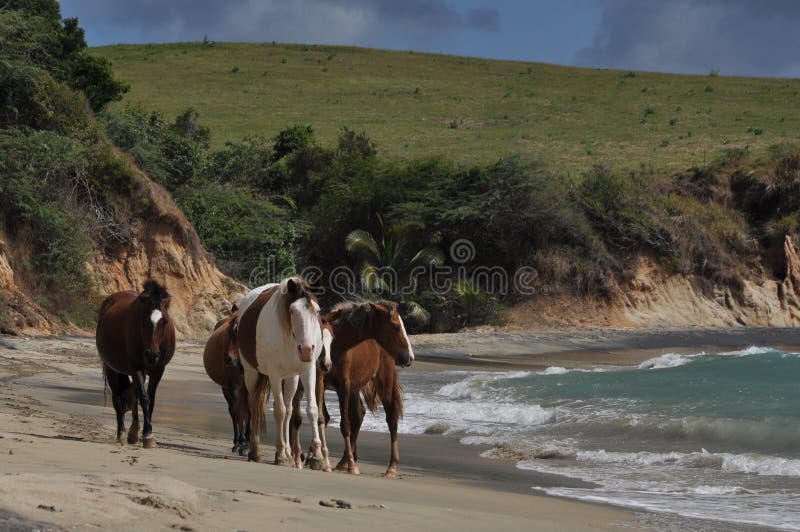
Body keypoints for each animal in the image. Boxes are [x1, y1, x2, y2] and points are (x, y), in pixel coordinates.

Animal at [96, 280, 176, 448]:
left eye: (164, 321)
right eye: (144, 320)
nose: (152, 354)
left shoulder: (158, 370)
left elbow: (150, 399)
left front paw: (146, 434)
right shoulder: (137, 368)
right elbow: (144, 398)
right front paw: (147, 435)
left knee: (133, 395)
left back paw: (133, 432)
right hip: (112, 369)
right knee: (117, 399)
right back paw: (122, 433)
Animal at [203, 304, 252, 455]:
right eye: (230, 333)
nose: (229, 359)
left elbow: (249, 412)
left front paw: (248, 443)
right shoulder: (234, 388)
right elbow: (238, 413)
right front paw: (241, 442)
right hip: (226, 389)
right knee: (233, 411)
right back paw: (237, 441)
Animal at [237, 277, 327, 468]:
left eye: (317, 310)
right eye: (292, 311)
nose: (306, 350)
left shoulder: (308, 371)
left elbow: (311, 410)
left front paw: (317, 456)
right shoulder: (275, 374)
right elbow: (279, 410)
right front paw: (280, 454)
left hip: (291, 377)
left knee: (289, 410)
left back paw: (289, 452)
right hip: (251, 373)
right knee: (254, 406)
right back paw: (256, 451)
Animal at [290, 300, 413, 476]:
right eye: (396, 326)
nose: (409, 357)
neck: (339, 345)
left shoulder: (343, 385)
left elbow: (344, 424)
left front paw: (349, 465)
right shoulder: (320, 381)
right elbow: (322, 417)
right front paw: (314, 457)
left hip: (384, 380)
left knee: (391, 418)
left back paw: (391, 466)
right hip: (356, 386)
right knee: (359, 414)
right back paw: (343, 461)